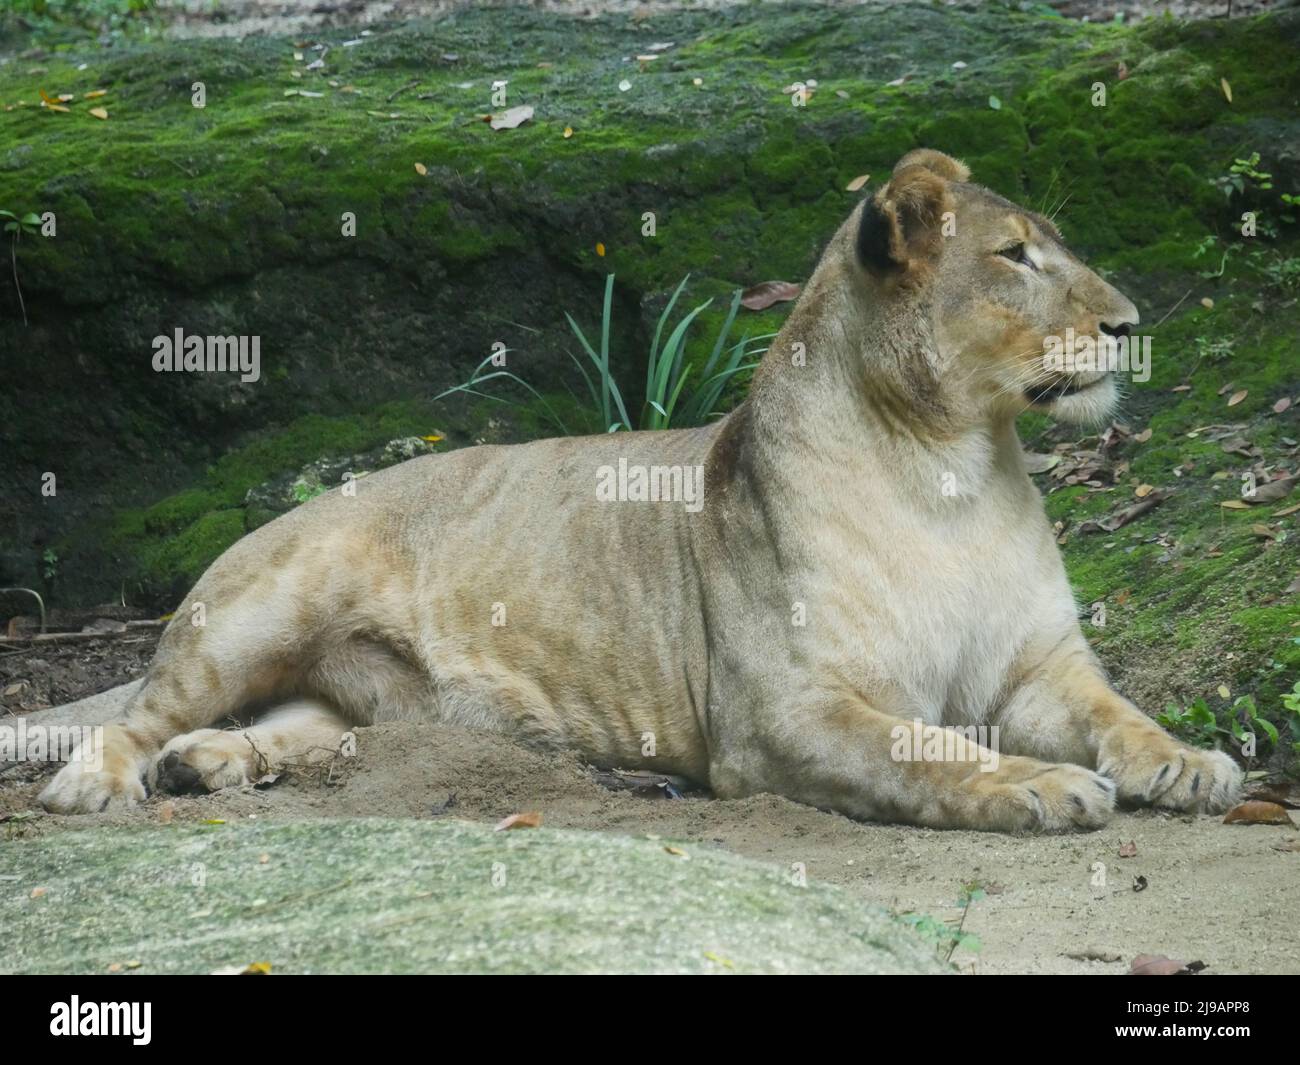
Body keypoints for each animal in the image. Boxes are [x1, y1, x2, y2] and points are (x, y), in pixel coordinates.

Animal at [41, 149, 1242, 830]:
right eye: (1014, 257)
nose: (1131, 322)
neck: (954, 471)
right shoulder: (778, 715)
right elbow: (926, 750)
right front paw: (1035, 788)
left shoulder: (1039, 665)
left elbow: (1121, 714)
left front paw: (1190, 766)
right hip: (254, 612)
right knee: (142, 711)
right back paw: (103, 781)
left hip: (349, 694)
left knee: (296, 724)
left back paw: (211, 766)